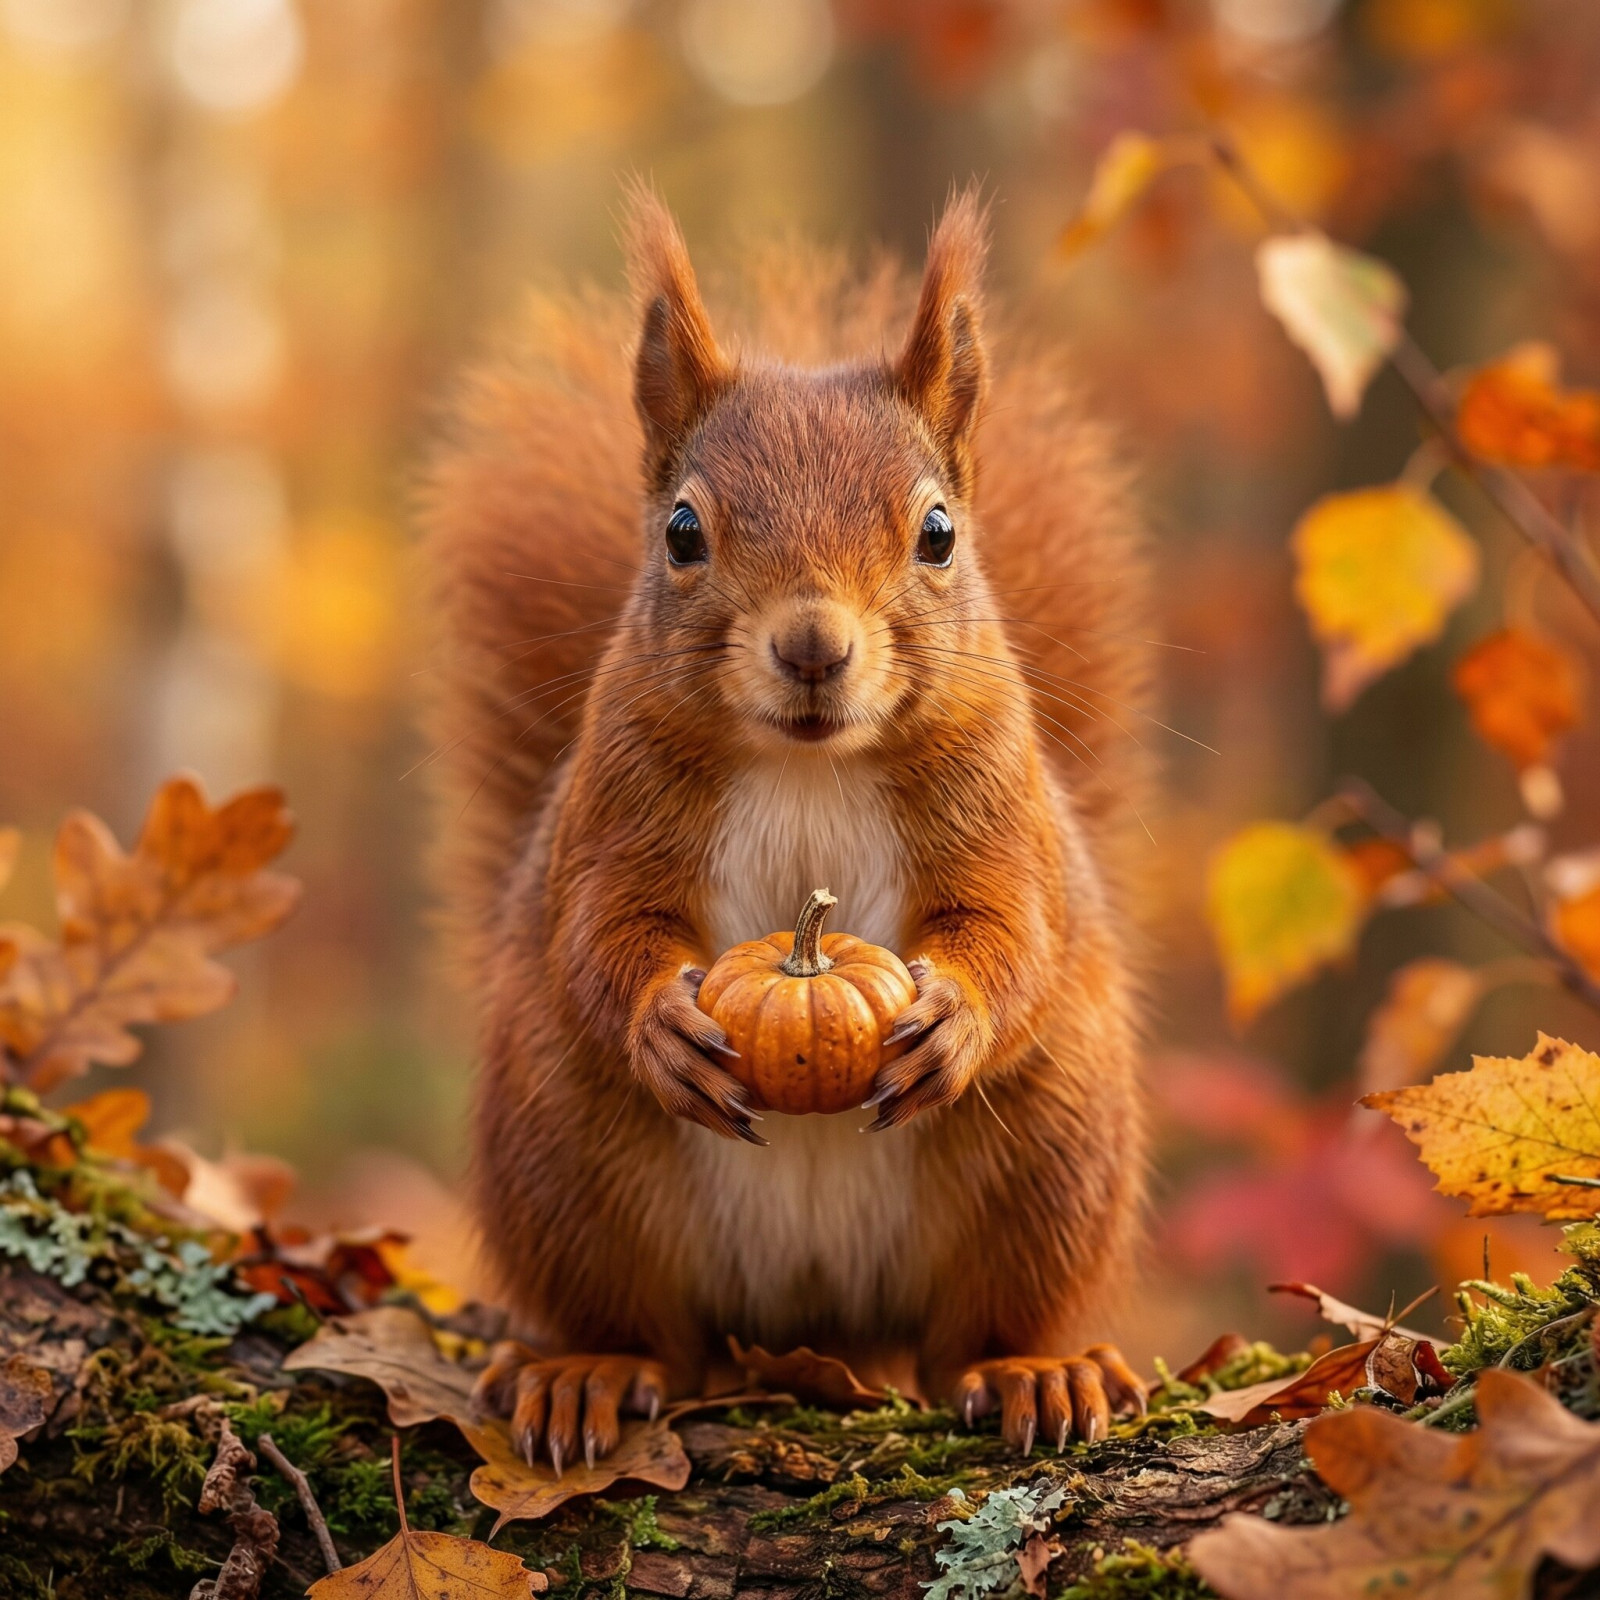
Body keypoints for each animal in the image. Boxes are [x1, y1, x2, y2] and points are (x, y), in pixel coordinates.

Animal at [423, 186, 1153, 1472]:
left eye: (938, 533)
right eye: (679, 531)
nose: (813, 644)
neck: (810, 767)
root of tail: (812, 1322)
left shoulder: (1002, 812)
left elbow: (1010, 926)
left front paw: (956, 1016)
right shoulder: (609, 814)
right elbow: (601, 930)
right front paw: (660, 1022)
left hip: (1049, 1157)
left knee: (968, 1338)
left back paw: (1034, 1368)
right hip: (566, 1161)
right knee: (654, 1336)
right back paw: (587, 1371)